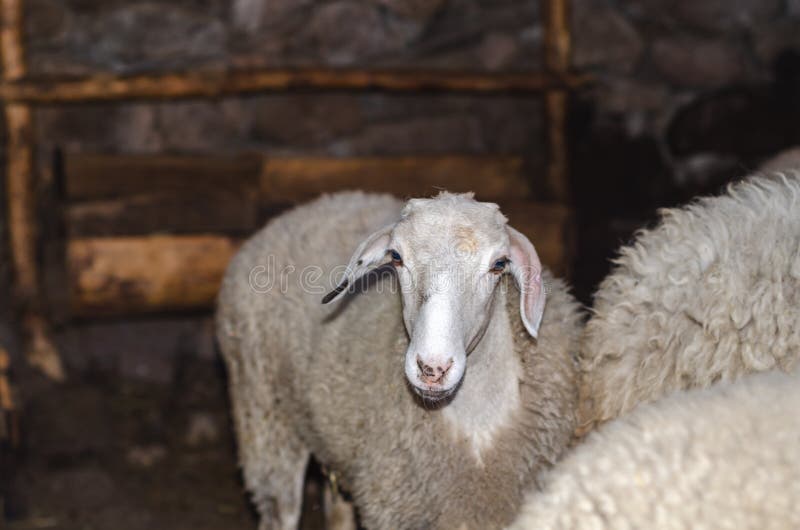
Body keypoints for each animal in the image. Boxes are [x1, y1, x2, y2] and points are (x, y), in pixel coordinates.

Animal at [216, 191, 583, 530]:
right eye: (396, 257)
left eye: (499, 264)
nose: (432, 369)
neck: (478, 425)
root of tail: (312, 206)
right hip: (264, 416)